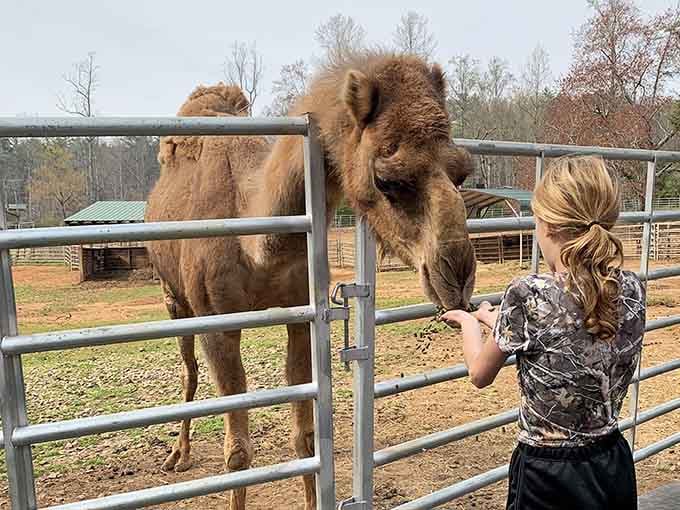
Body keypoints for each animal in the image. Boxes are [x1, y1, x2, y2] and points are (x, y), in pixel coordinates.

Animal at [145, 52, 477, 510]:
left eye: (462, 172)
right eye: (386, 179)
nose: (457, 278)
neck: (256, 245)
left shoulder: (299, 316)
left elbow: (305, 440)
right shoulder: (218, 323)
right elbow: (238, 454)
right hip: (174, 299)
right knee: (188, 371)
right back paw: (179, 454)